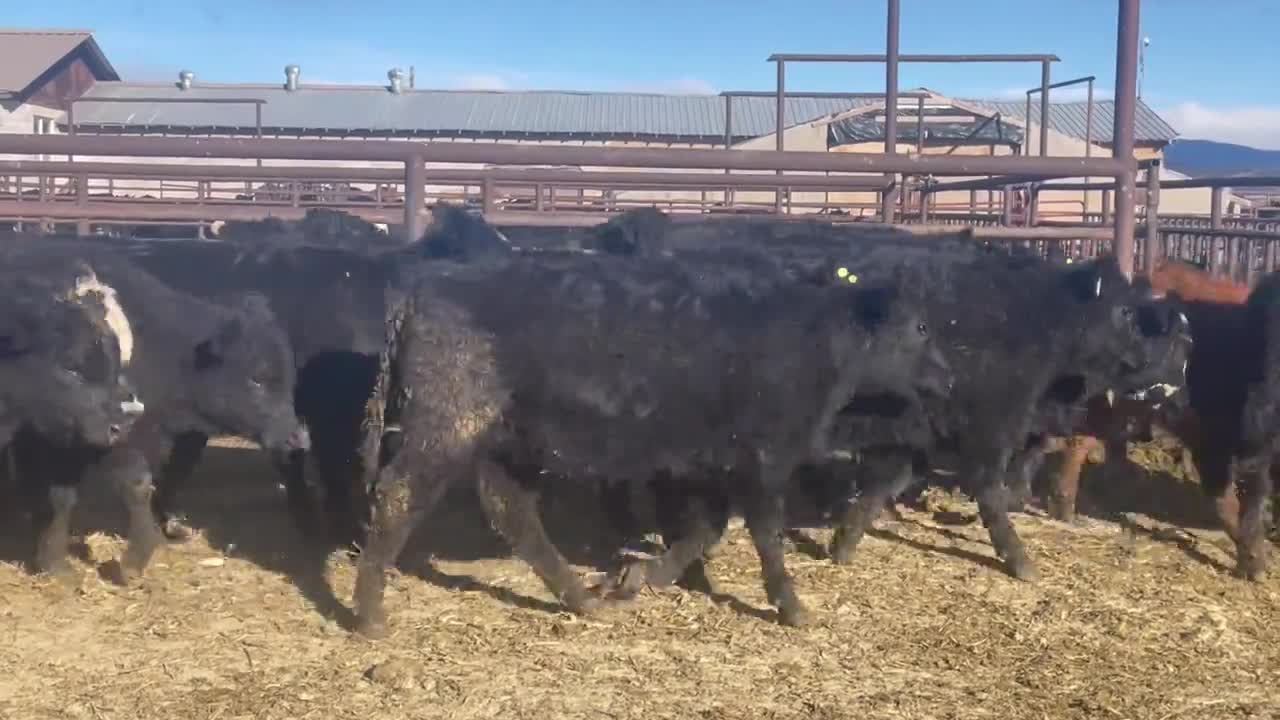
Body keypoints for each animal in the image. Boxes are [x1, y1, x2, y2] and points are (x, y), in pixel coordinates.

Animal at [346, 246, 954, 638]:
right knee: (399, 496)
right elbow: (765, 534)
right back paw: (370, 615)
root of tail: (423, 288)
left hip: (506, 442)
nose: (949, 378)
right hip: (447, 427)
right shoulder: (764, 457)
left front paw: (642, 576)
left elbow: (705, 529)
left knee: (512, 512)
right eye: (922, 328)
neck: (816, 338)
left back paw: (581, 599)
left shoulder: (715, 461)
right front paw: (792, 606)